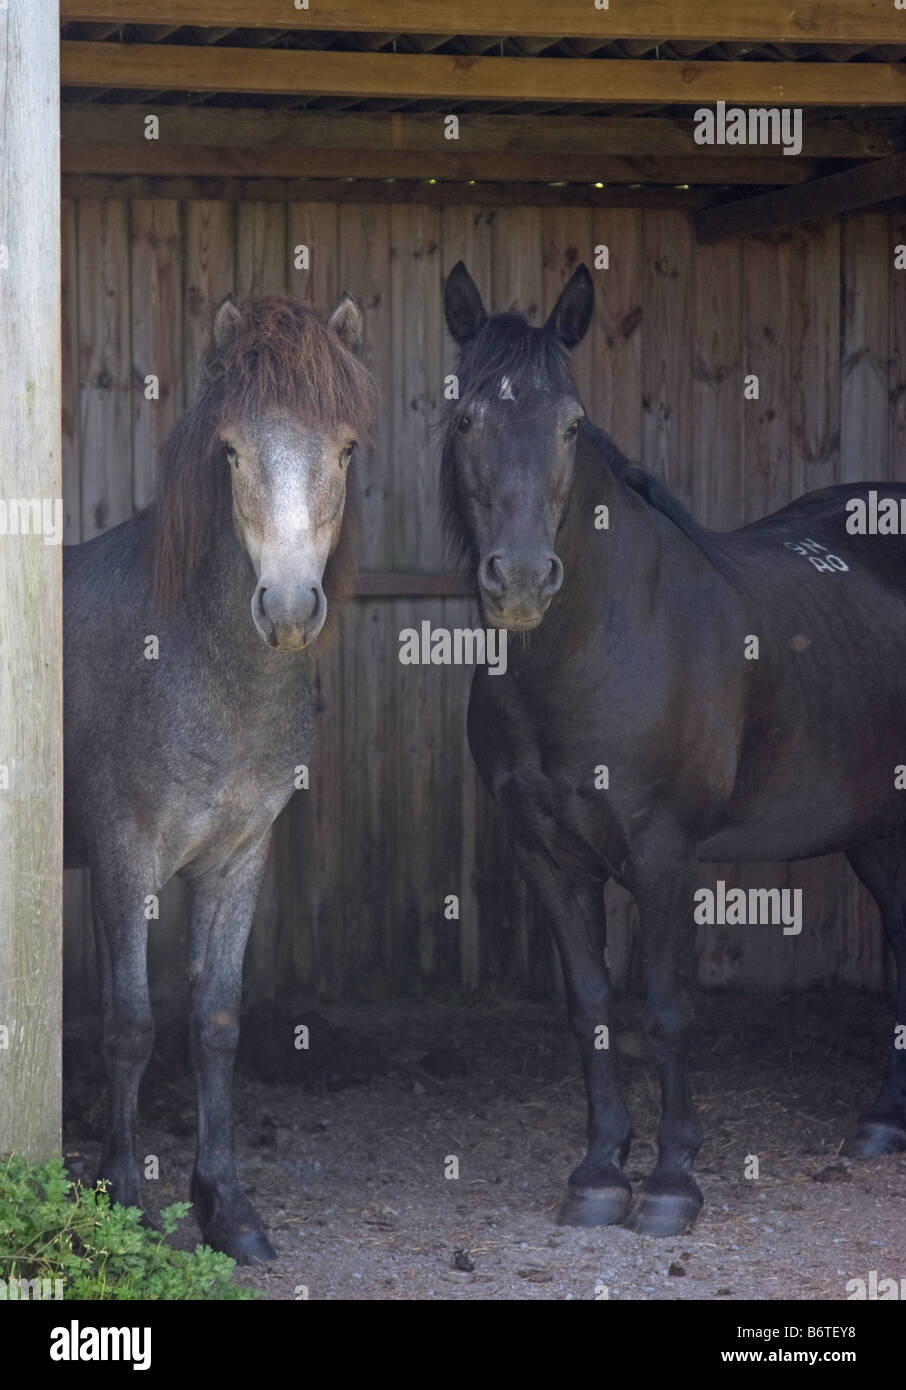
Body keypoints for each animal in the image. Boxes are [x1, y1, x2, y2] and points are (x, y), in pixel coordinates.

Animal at [64, 292, 377, 1262]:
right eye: (232, 451)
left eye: (345, 450)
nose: (288, 606)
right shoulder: (123, 858)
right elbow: (129, 1026)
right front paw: (123, 1195)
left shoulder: (239, 860)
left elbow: (216, 1023)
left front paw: (226, 1207)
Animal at [442, 259, 906, 1237]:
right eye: (465, 420)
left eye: (571, 423)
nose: (522, 580)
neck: (592, 647)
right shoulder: (545, 853)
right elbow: (590, 1005)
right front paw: (598, 1173)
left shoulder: (663, 853)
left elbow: (665, 1007)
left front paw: (670, 1182)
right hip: (878, 829)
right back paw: (882, 1122)